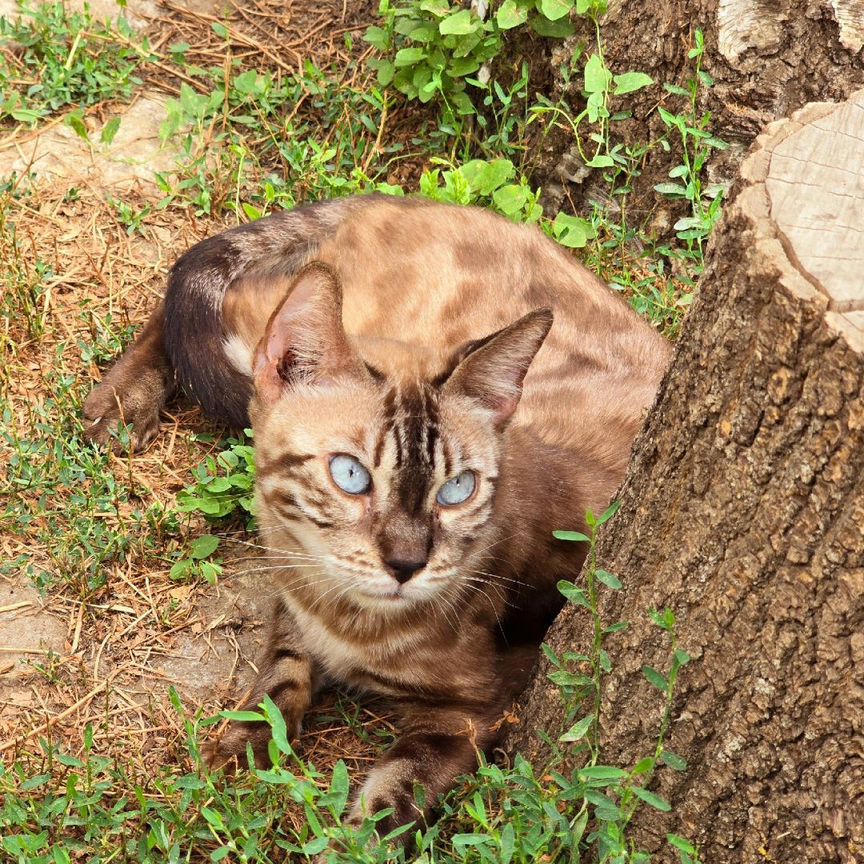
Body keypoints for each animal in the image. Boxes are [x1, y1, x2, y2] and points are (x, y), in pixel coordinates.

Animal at [84, 194, 672, 832]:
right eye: (351, 475)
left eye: (457, 488)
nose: (406, 564)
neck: (346, 618)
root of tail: (414, 199)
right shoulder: (297, 601)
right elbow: (280, 674)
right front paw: (241, 746)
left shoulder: (482, 706)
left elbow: (384, 805)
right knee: (202, 299)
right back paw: (122, 402)